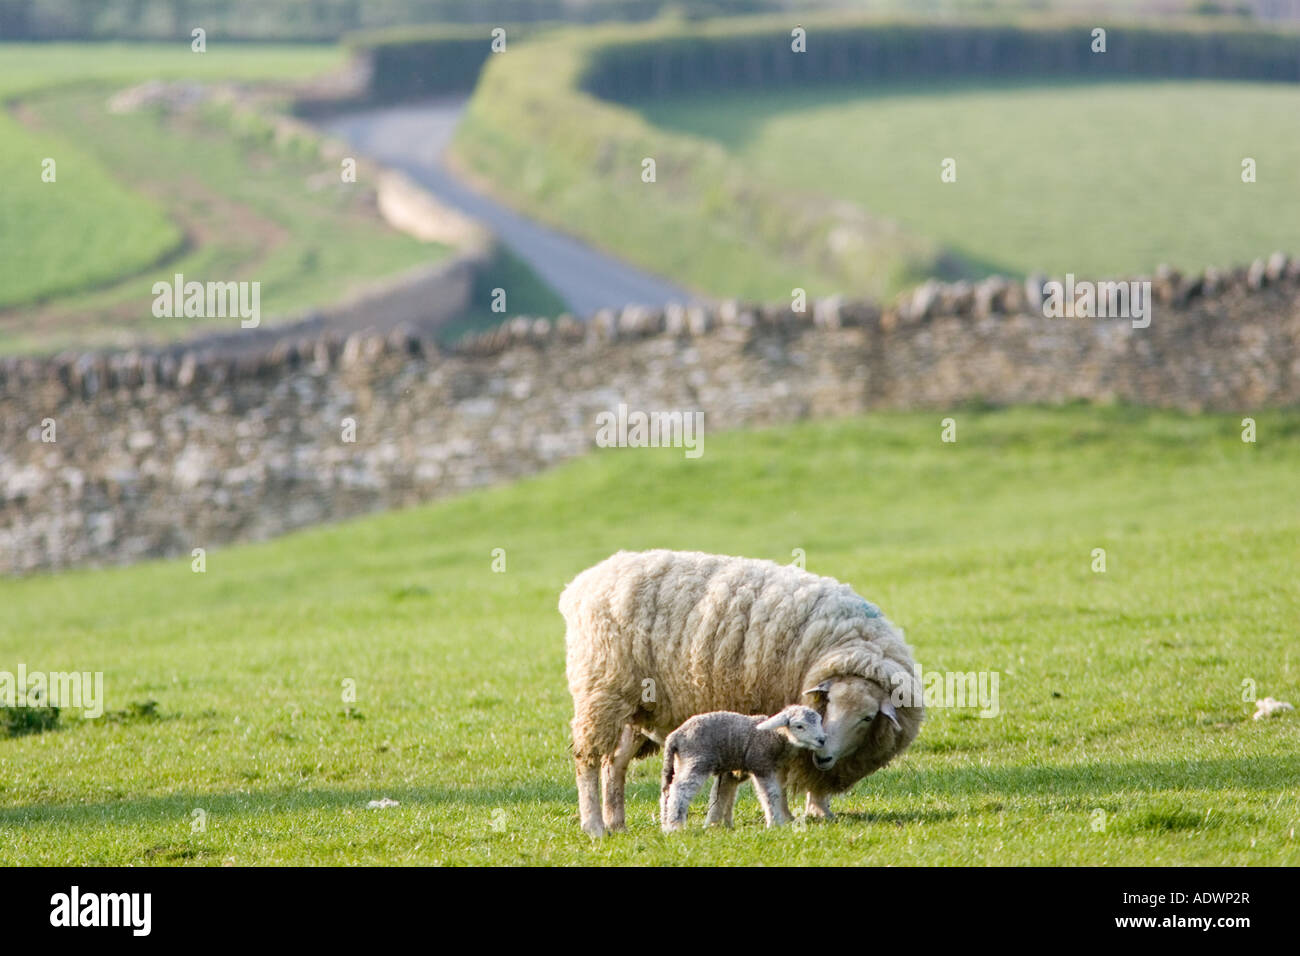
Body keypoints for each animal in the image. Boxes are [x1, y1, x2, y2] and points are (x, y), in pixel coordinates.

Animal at [660, 705, 826, 831]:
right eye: (799, 726)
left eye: (819, 722)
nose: (822, 740)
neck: (774, 736)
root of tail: (675, 735)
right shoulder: (761, 765)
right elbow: (770, 795)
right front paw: (775, 823)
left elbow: (722, 797)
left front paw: (720, 825)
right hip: (696, 759)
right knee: (680, 791)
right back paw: (676, 826)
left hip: (680, 761)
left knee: (667, 792)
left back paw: (666, 824)